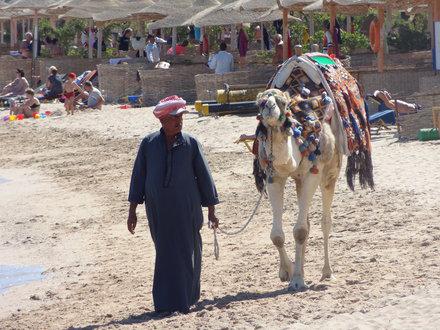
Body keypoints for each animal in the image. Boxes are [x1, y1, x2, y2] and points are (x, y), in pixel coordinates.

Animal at [249, 52, 372, 290]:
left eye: (282, 102)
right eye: (259, 103)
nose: (268, 106)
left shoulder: (312, 174)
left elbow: (300, 231)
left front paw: (297, 280)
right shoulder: (274, 176)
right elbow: (277, 235)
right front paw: (287, 272)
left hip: (330, 173)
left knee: (325, 222)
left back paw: (327, 273)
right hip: (299, 180)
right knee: (306, 221)